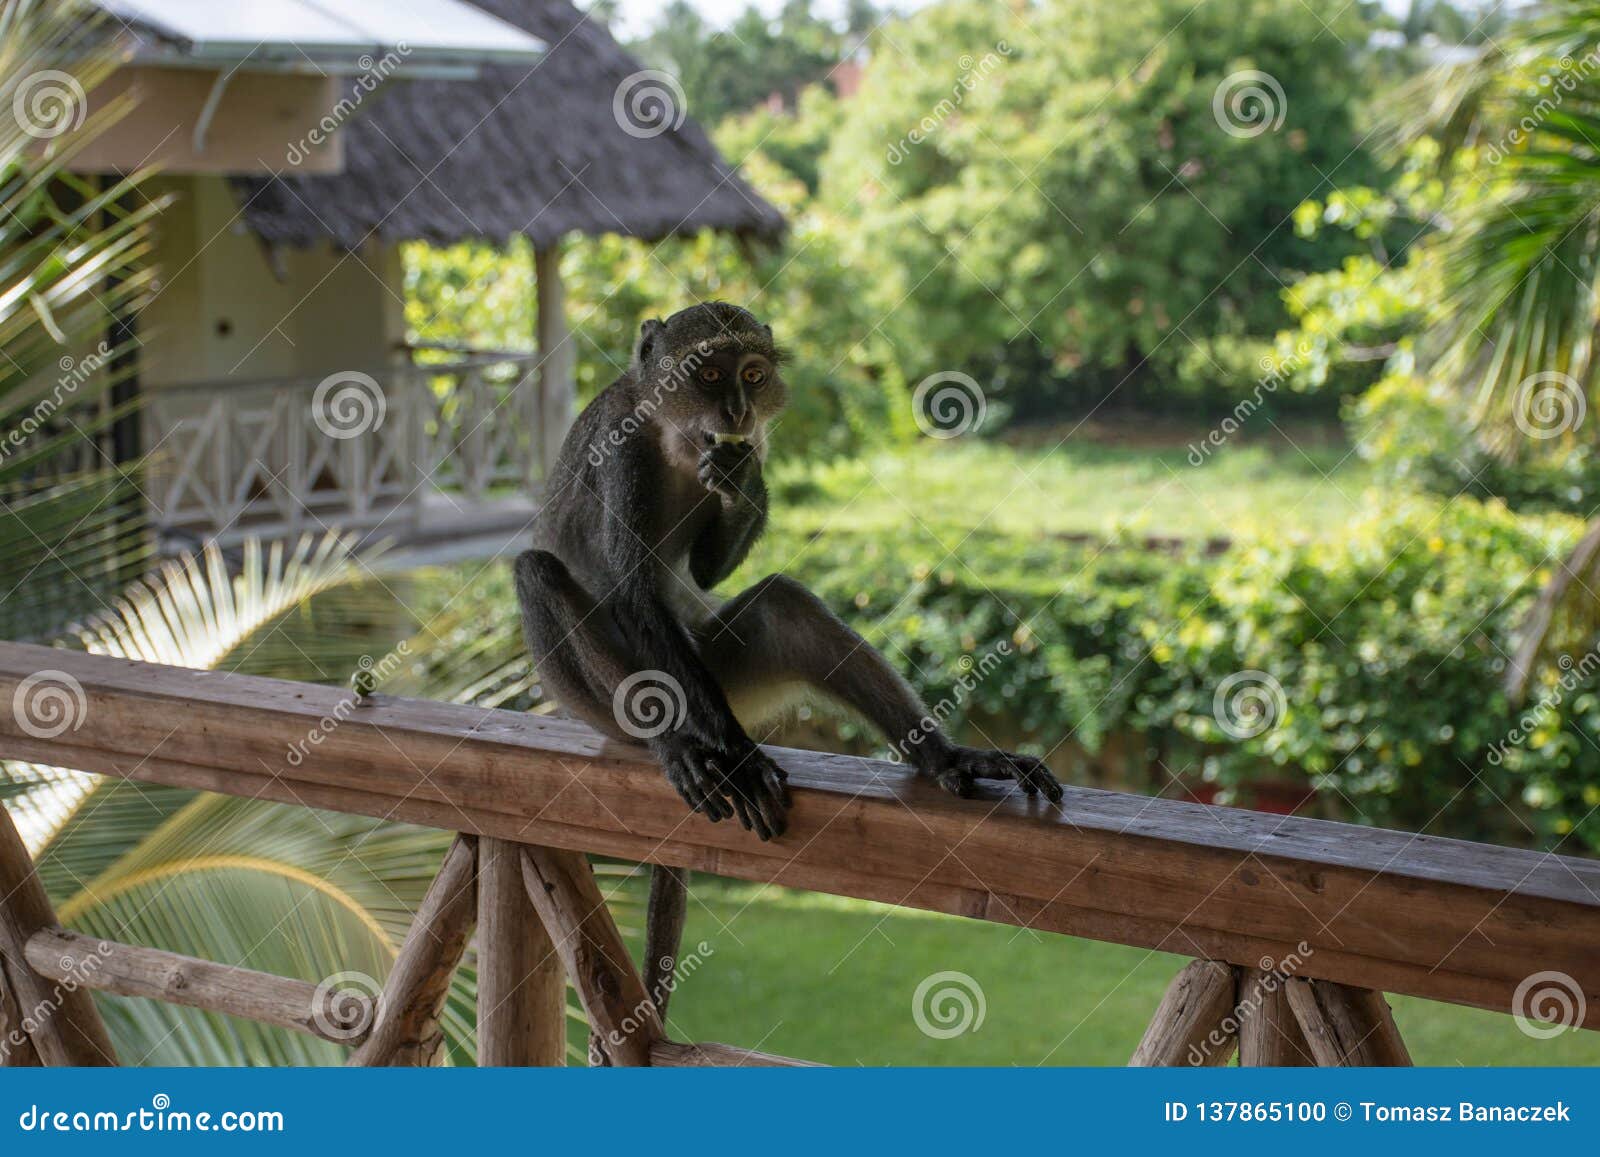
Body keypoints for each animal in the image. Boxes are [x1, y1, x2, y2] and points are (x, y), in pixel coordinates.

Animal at [513, 302, 1063, 1039]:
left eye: (750, 373)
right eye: (708, 372)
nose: (739, 409)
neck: (674, 436)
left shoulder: (741, 451)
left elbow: (712, 566)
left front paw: (740, 481)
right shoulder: (621, 452)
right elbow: (634, 594)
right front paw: (739, 758)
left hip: (717, 669)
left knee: (785, 604)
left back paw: (945, 759)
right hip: (613, 698)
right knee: (539, 573)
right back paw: (681, 743)